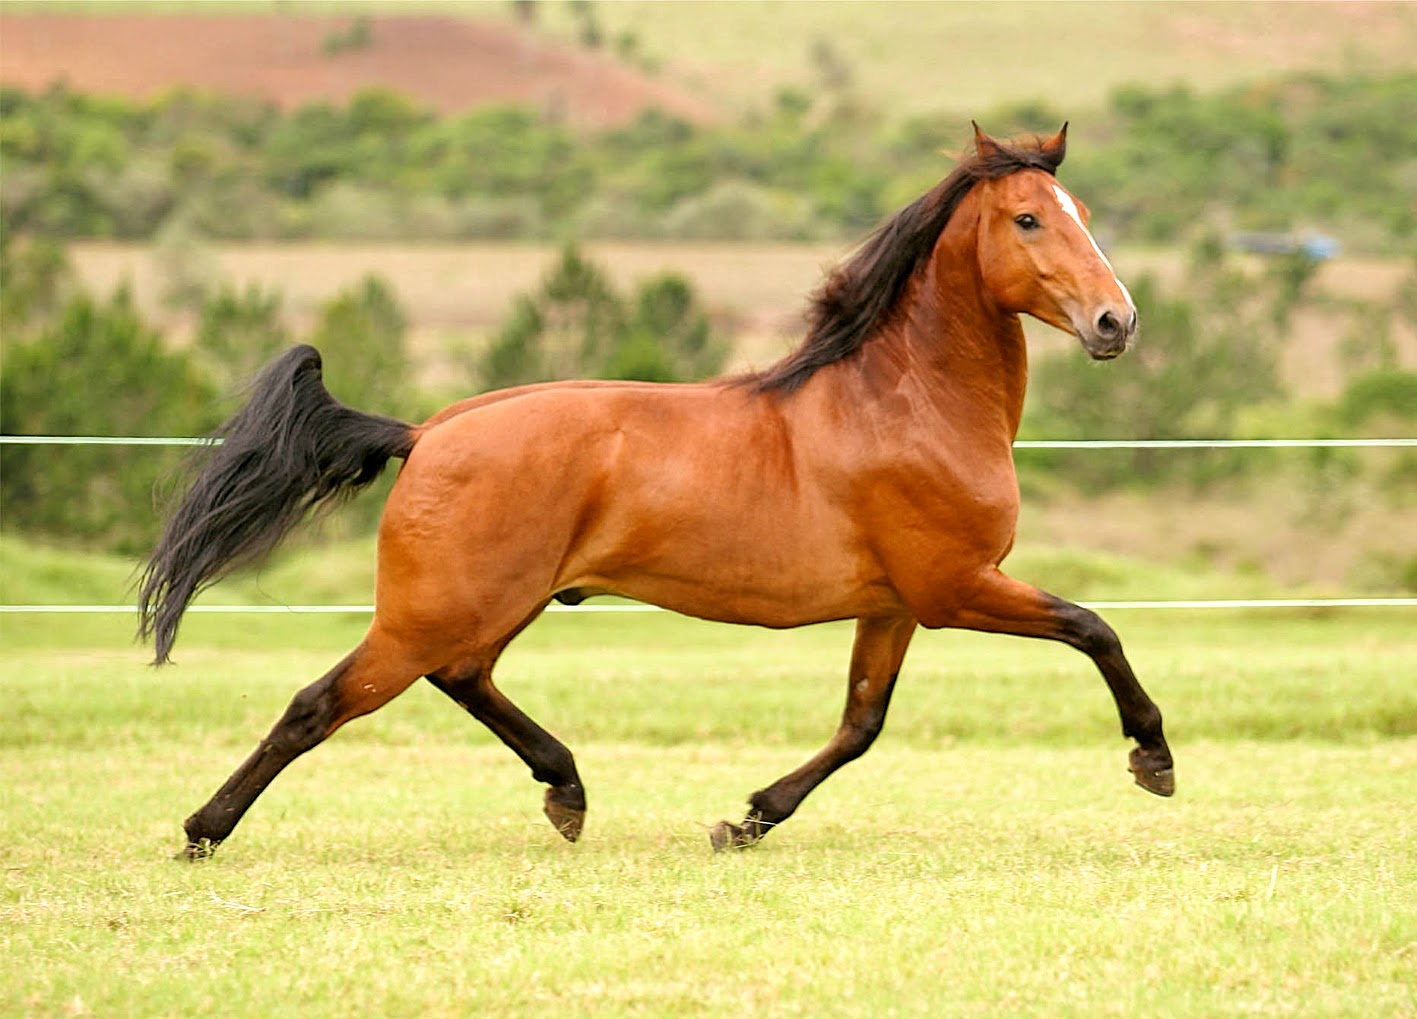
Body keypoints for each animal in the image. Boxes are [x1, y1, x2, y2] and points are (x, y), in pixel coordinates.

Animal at [140, 124, 1174, 859]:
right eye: (1029, 218)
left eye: (1081, 208)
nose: (1115, 321)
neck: (906, 403)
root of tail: (427, 432)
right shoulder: (957, 586)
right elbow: (1093, 628)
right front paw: (1152, 756)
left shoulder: (896, 604)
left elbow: (860, 723)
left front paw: (747, 818)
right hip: (434, 611)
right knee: (319, 703)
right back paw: (202, 829)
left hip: (491, 605)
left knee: (463, 678)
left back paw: (566, 791)